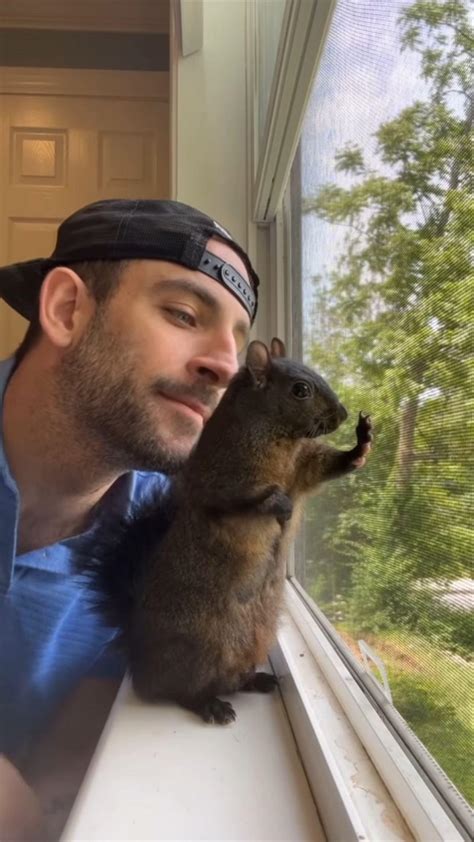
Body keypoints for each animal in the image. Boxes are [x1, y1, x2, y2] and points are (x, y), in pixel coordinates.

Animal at [85, 338, 372, 724]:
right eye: (300, 390)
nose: (342, 414)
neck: (279, 441)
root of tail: (141, 658)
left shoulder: (303, 468)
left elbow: (326, 466)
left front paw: (361, 443)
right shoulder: (219, 481)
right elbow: (238, 502)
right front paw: (277, 505)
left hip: (248, 647)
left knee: (230, 679)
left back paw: (257, 681)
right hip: (199, 652)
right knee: (180, 692)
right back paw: (210, 706)